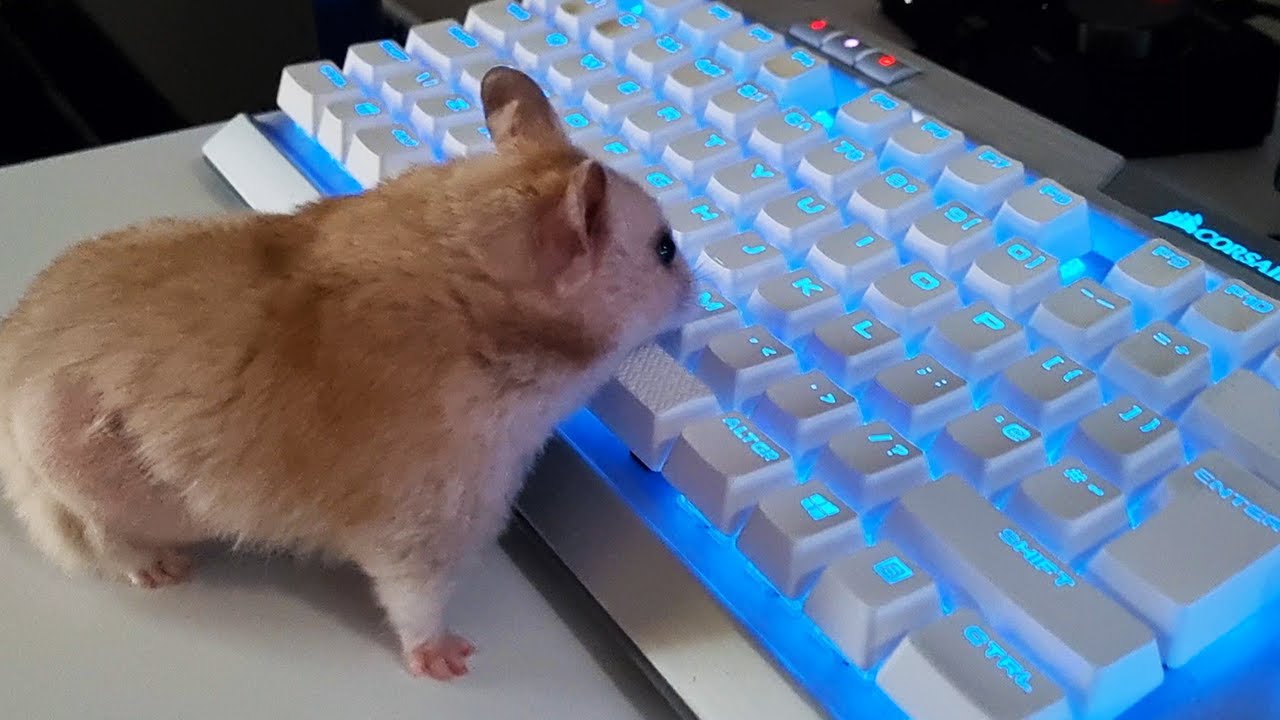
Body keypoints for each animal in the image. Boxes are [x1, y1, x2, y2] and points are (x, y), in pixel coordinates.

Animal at [0, 67, 694, 680]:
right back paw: (163, 569)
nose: (700, 295)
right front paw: (452, 662)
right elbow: (417, 601)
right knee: (97, 539)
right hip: (76, 481)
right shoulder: (417, 526)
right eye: (666, 248)